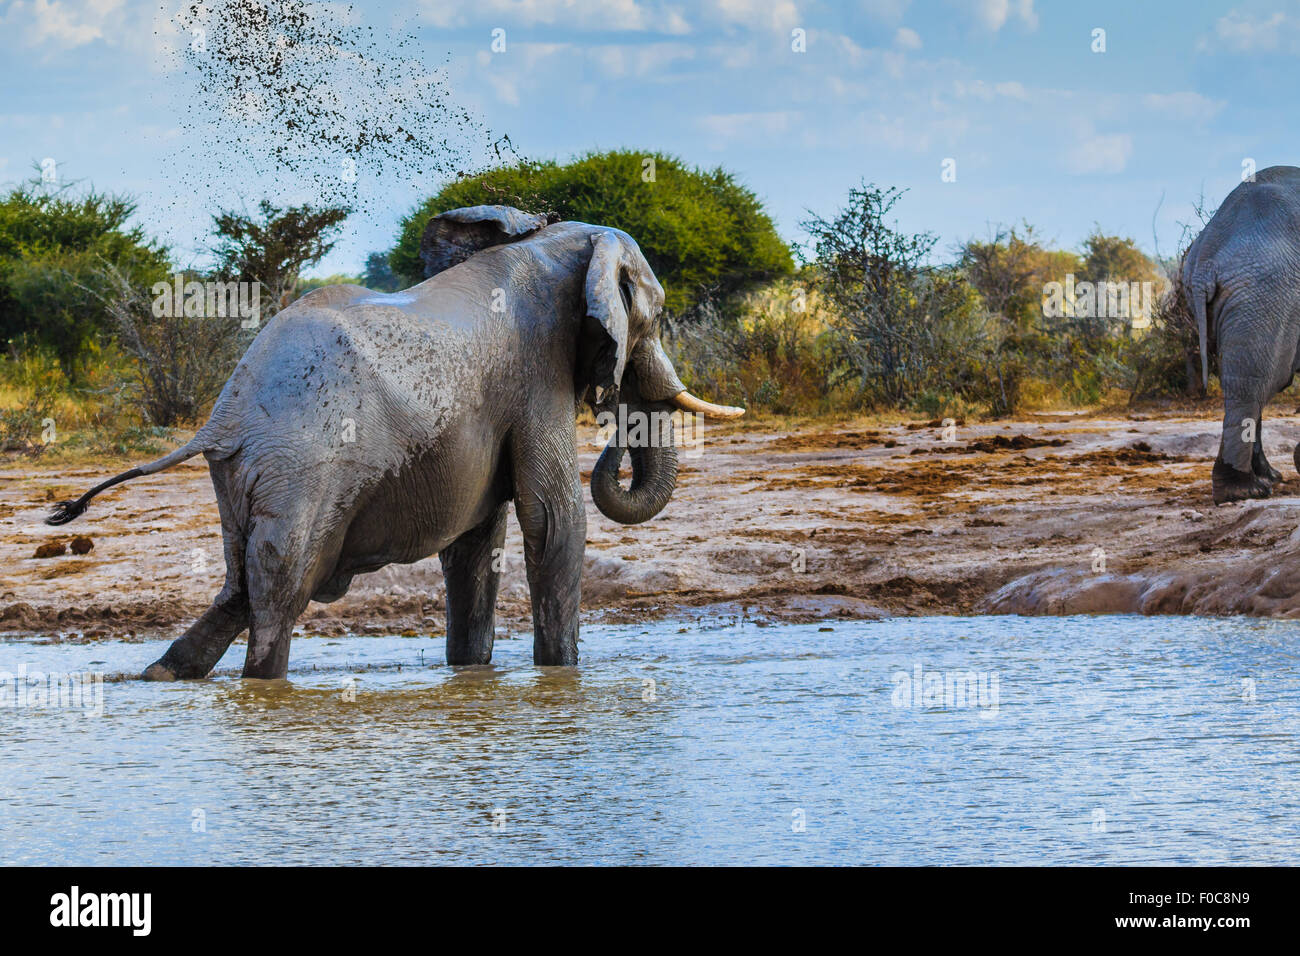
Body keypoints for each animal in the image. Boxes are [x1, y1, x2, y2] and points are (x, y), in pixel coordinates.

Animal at [45, 205, 743, 678]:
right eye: (654, 316)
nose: (614, 418)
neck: (553, 242)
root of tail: (225, 417)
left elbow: (475, 546)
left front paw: (470, 675)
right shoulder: (535, 375)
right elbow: (552, 518)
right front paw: (562, 675)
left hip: (248, 473)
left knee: (239, 584)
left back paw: (163, 675)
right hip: (304, 468)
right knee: (281, 587)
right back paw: (259, 681)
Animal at [1183, 165, 1300, 504]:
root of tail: (1207, 252)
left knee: (1251, 378)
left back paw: (1267, 478)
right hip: (1266, 291)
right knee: (1256, 383)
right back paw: (1246, 490)